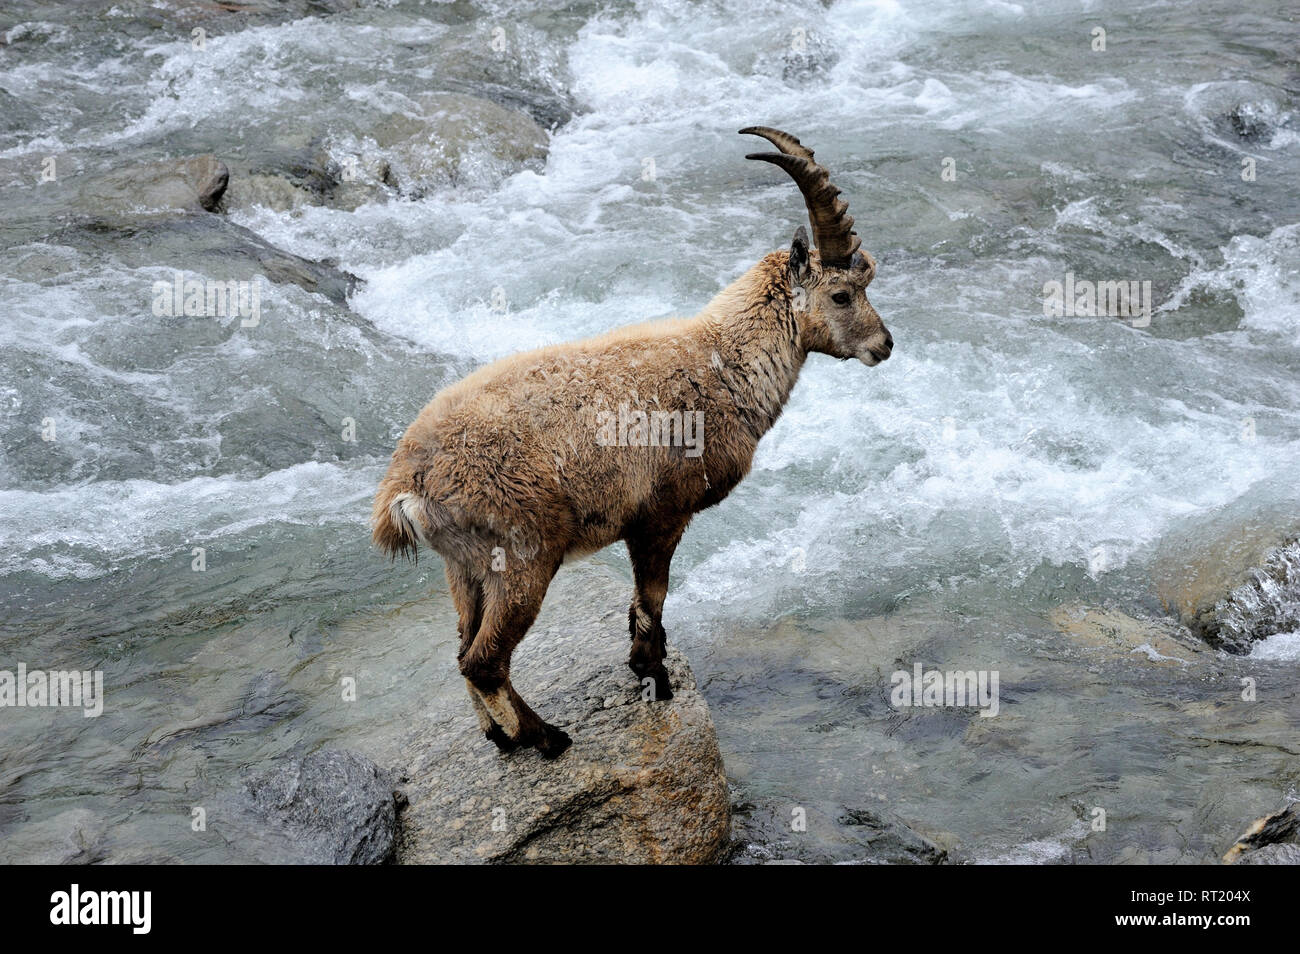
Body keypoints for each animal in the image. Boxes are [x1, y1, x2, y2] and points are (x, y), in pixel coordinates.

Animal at [373, 128, 893, 757]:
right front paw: (653, 674)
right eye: (842, 294)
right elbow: (652, 598)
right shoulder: (661, 513)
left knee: (463, 648)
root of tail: (406, 486)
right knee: (484, 660)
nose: (885, 344)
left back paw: (501, 736)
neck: (723, 364)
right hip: (522, 554)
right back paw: (546, 738)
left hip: (463, 567)